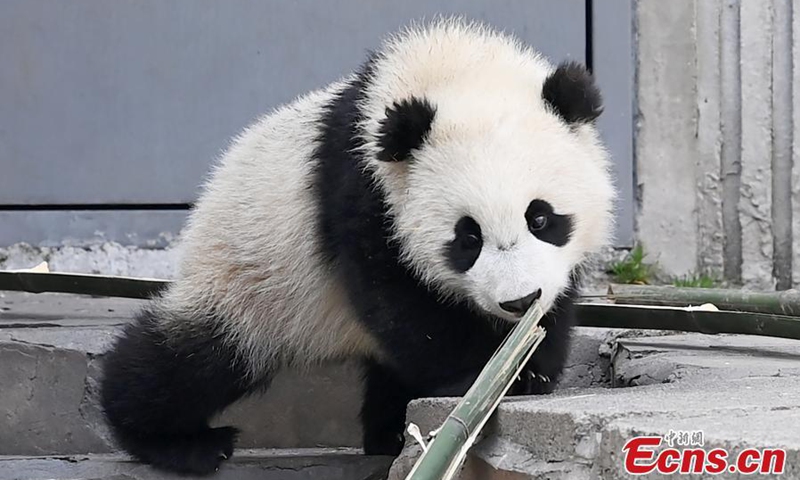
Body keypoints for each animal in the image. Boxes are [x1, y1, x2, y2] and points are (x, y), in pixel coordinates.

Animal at [100, 18, 615, 475]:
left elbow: (555, 301)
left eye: (540, 218)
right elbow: (398, 301)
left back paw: (386, 433)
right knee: (190, 360)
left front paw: (530, 366)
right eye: (467, 238)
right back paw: (179, 442)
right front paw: (480, 375)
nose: (518, 301)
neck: (454, 70)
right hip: (247, 278)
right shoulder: (361, 189)